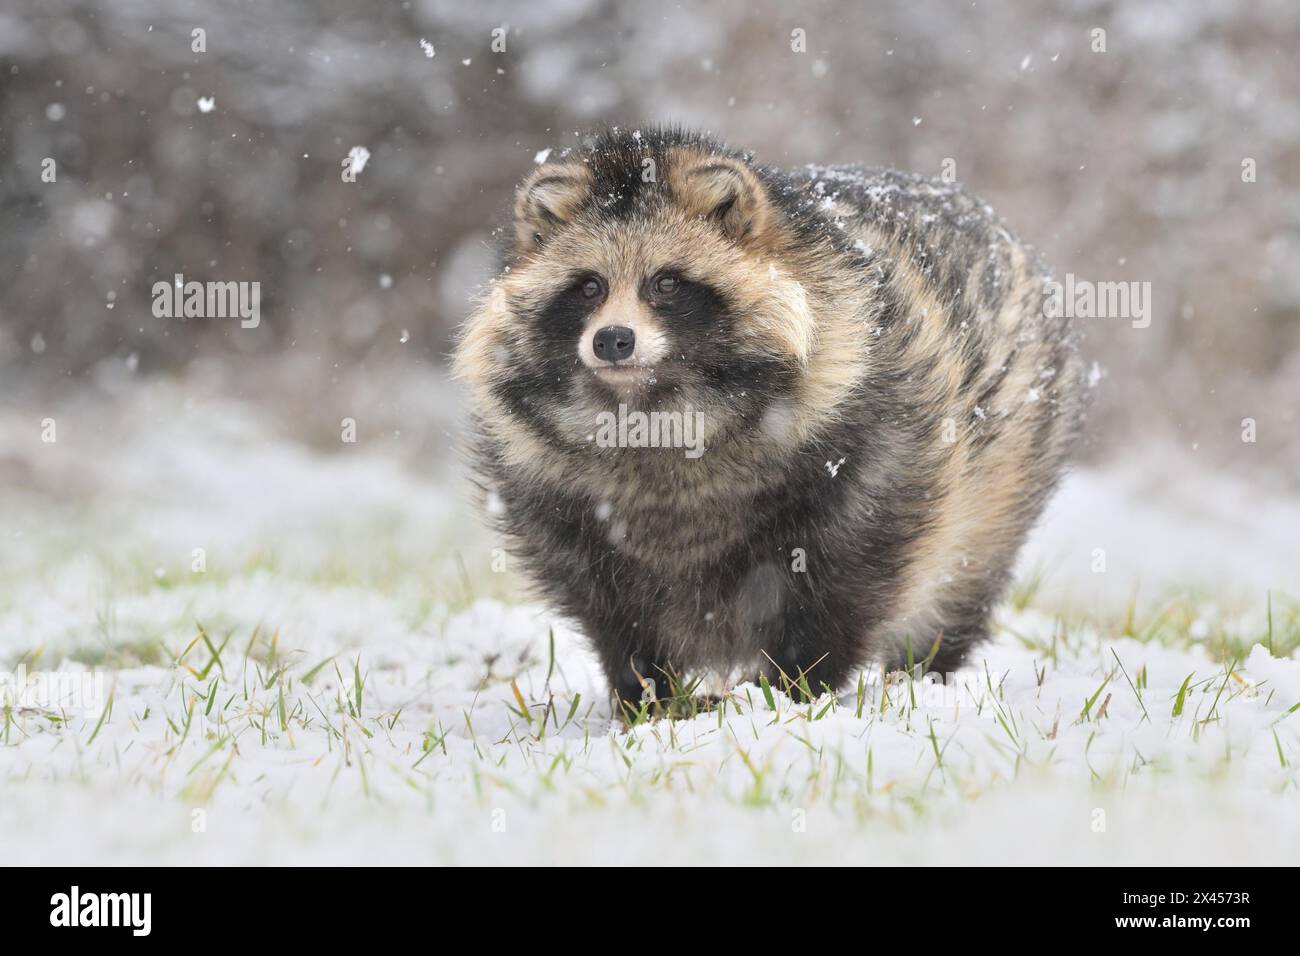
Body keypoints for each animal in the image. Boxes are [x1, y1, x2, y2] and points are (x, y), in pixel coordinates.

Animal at [454, 127, 1084, 707]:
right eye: (588, 286)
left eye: (666, 282)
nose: (612, 340)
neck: (653, 410)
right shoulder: (553, 490)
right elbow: (608, 604)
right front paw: (644, 696)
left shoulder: (874, 436)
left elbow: (845, 580)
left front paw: (797, 687)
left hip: (1005, 475)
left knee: (958, 580)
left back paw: (925, 672)